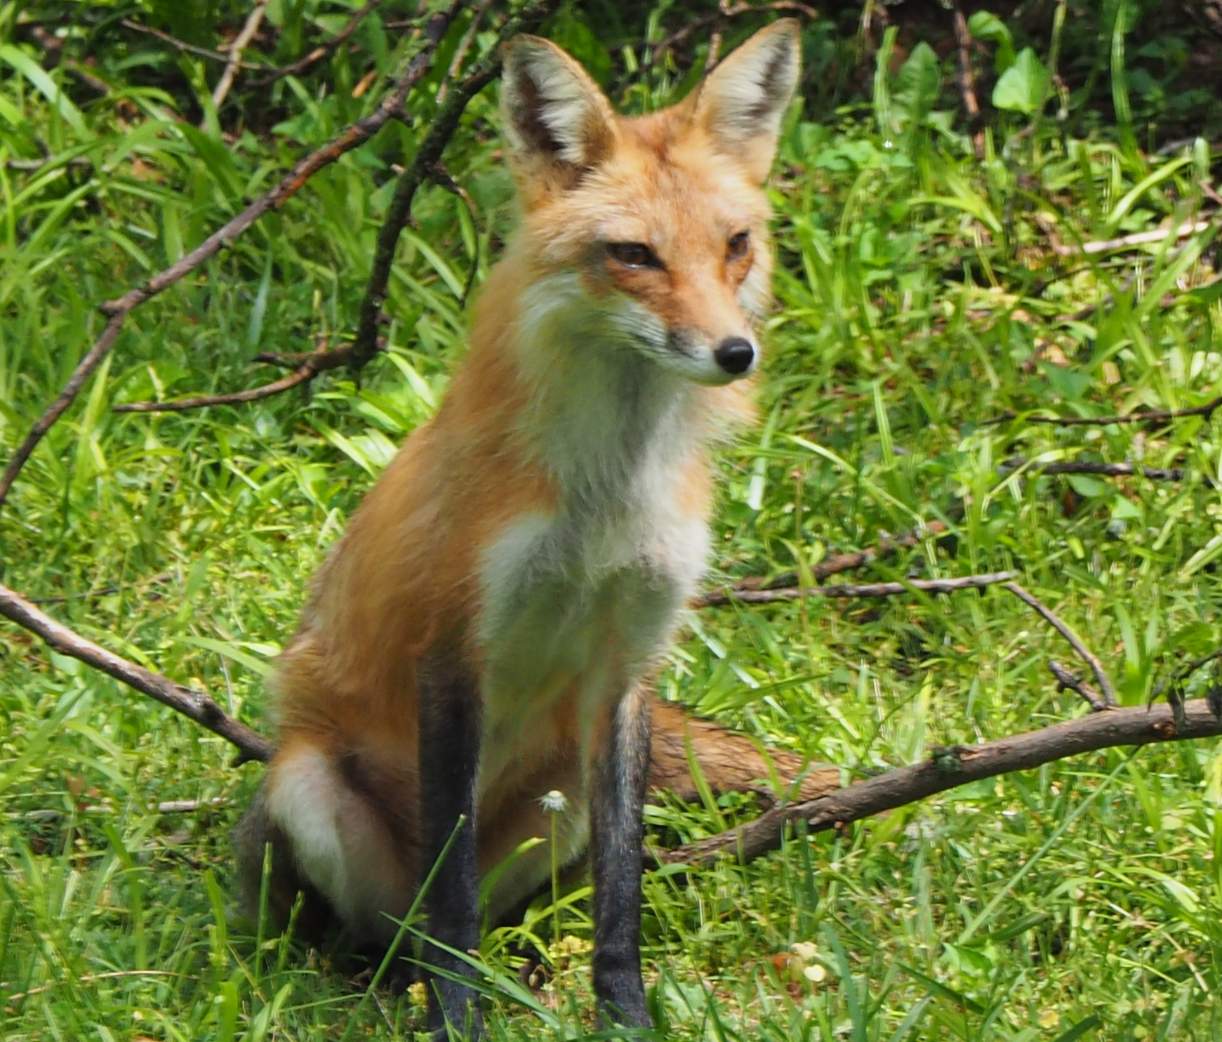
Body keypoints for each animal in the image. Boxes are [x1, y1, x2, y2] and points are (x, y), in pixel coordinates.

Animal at [235, 20, 804, 1039]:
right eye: (635, 255)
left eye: (736, 245)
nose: (735, 353)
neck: (604, 501)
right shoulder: (454, 648)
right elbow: (454, 889)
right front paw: (456, 1020)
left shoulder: (629, 664)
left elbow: (621, 888)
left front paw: (624, 1012)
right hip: (305, 785)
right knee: (407, 925)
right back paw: (377, 976)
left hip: (561, 791)